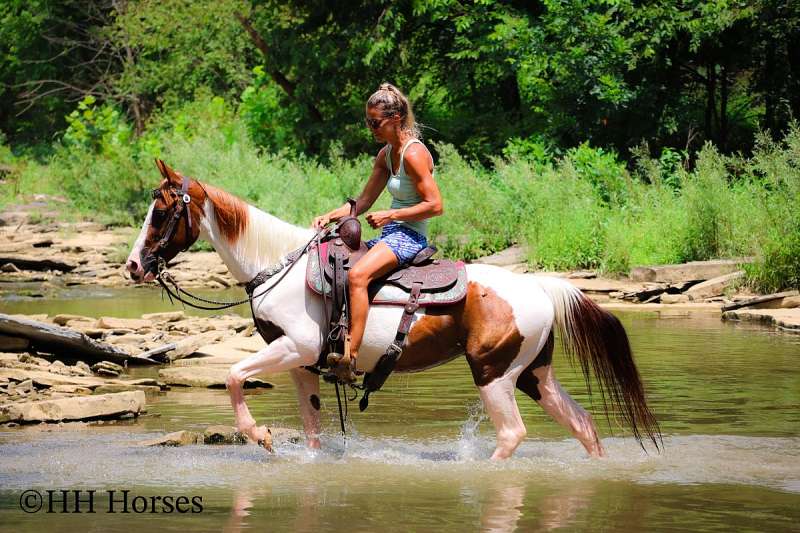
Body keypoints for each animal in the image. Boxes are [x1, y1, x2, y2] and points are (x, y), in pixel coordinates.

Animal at [126, 160, 661, 460]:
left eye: (161, 213)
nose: (133, 265)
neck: (277, 266)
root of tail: (542, 287)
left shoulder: (294, 346)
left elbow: (234, 376)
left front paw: (259, 436)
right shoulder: (301, 362)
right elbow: (312, 427)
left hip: (494, 374)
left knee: (512, 434)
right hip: (534, 373)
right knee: (583, 427)